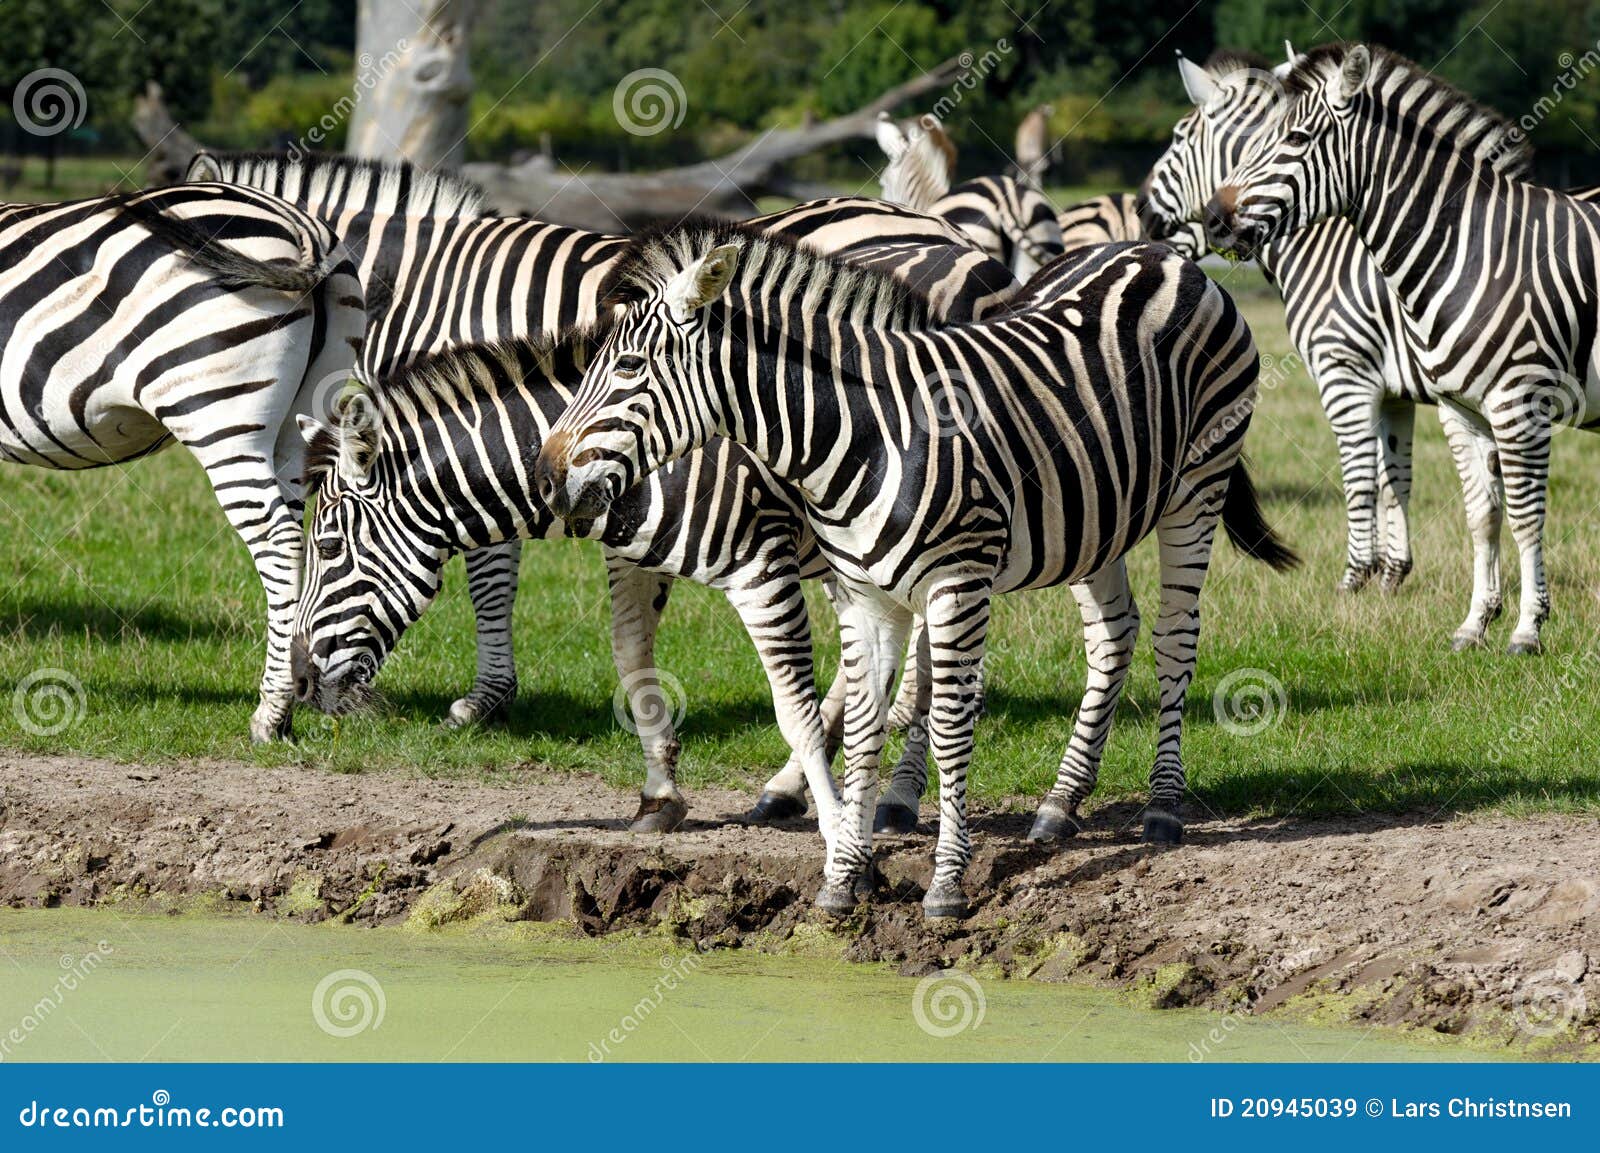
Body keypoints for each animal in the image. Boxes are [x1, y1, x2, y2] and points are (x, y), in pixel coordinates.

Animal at [284, 189, 1020, 834]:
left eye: (327, 547)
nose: (300, 685)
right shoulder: (634, 550)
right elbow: (631, 654)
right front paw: (659, 794)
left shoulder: (762, 561)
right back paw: (797, 788)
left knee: (925, 666)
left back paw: (892, 800)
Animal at [535, 221, 1298, 916]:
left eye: (629, 367)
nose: (546, 475)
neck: (861, 434)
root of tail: (1162, 252)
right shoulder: (865, 596)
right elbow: (862, 725)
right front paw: (845, 876)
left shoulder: (956, 584)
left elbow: (952, 725)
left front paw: (947, 883)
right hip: (1095, 517)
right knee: (1114, 633)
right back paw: (1060, 803)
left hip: (1199, 481)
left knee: (1175, 636)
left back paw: (1164, 805)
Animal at [1206, 43, 1600, 655]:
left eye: (1295, 139)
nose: (1212, 218)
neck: (1468, 249)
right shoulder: (1460, 408)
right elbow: (1481, 514)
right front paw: (1475, 622)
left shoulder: (1518, 403)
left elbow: (1524, 516)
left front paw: (1528, 629)